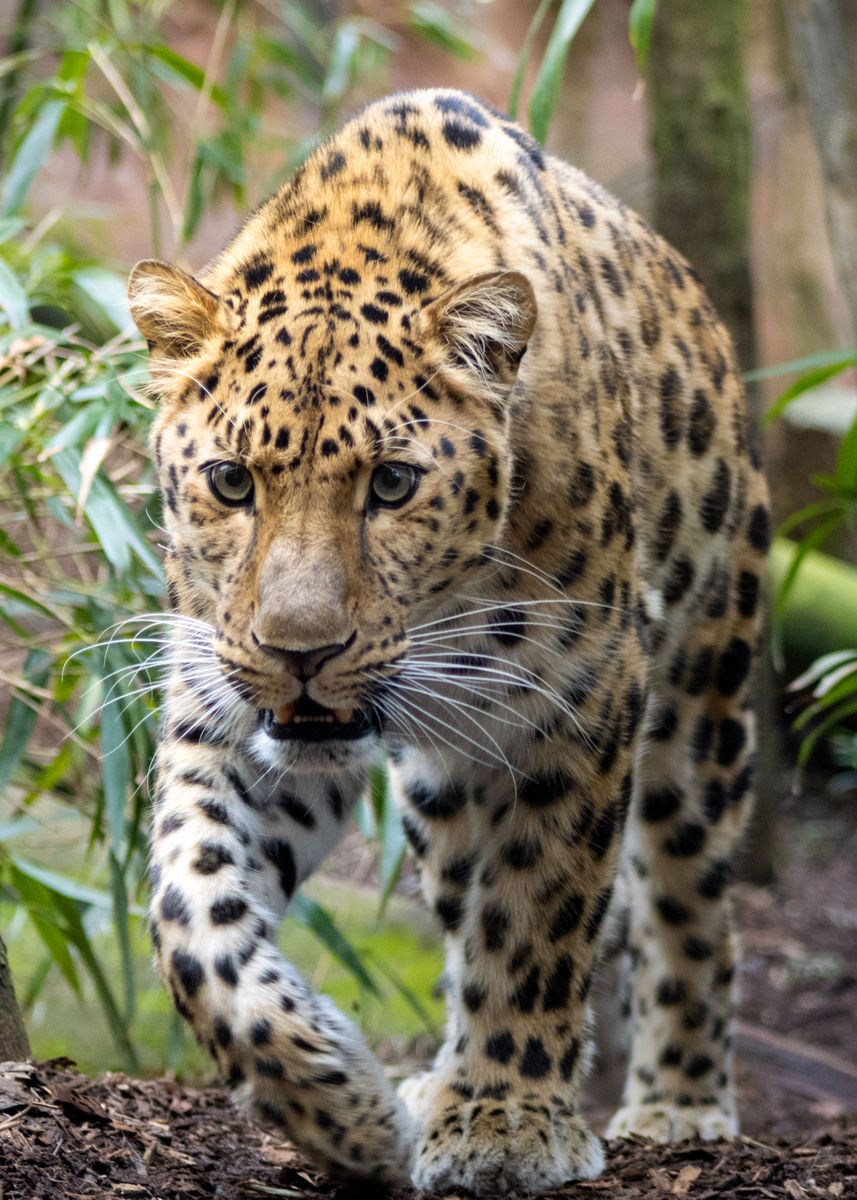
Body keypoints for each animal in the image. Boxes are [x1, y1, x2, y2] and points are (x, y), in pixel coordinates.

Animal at [128, 88, 769, 1196]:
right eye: (230, 482)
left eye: (391, 484)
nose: (301, 650)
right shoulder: (225, 711)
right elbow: (191, 916)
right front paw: (339, 1107)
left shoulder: (580, 699)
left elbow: (538, 915)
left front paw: (505, 1122)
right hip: (437, 791)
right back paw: (436, 1079)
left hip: (702, 700)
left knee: (687, 898)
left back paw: (678, 1100)